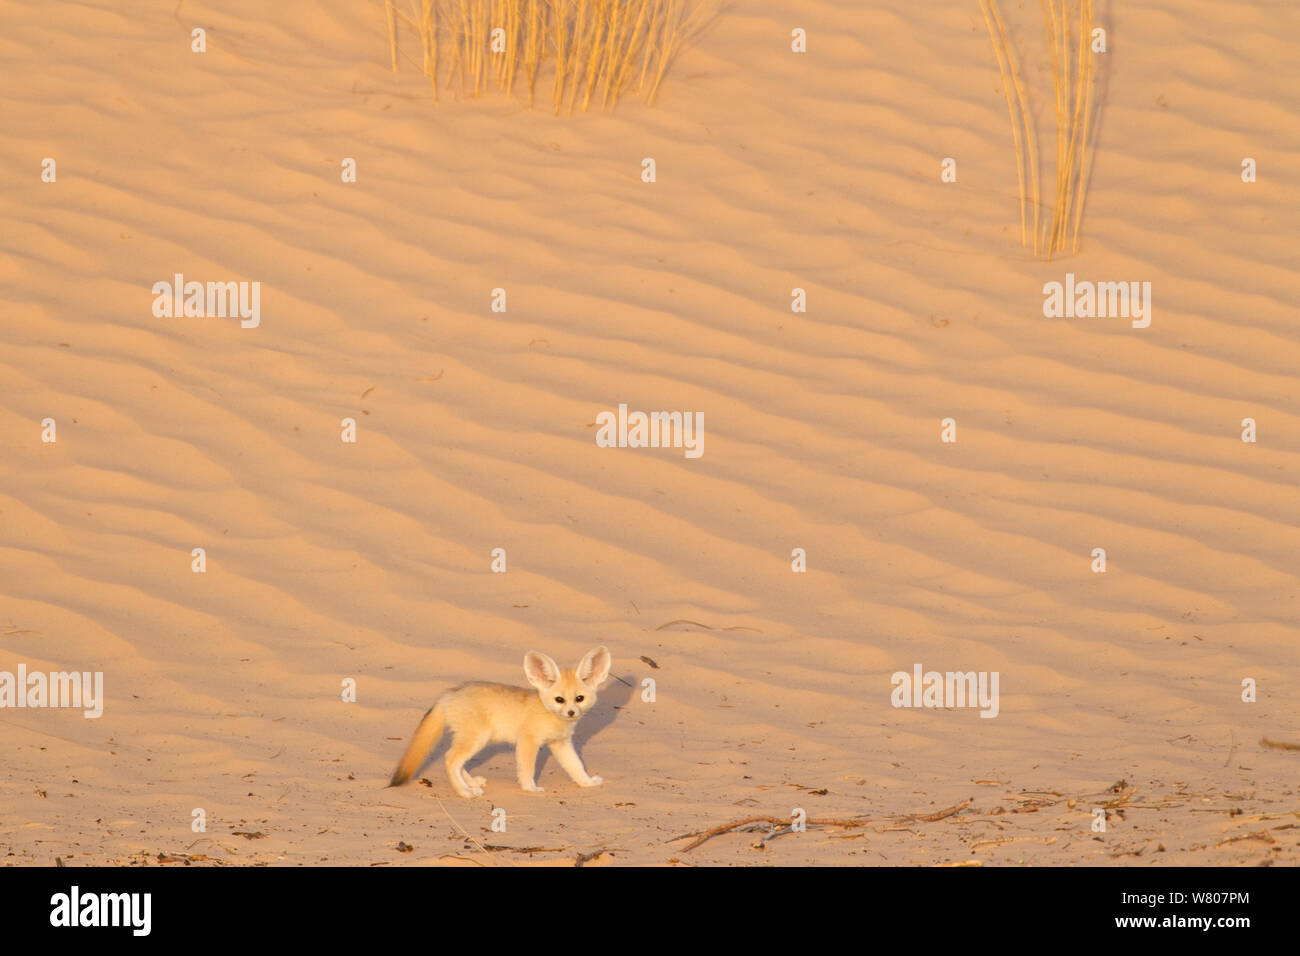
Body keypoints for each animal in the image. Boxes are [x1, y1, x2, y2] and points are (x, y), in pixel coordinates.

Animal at [388, 646, 612, 797]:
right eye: (559, 700)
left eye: (579, 698)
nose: (571, 712)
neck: (546, 711)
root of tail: (449, 693)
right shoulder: (528, 741)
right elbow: (527, 769)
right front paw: (530, 788)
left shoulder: (560, 743)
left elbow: (576, 766)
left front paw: (587, 783)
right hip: (477, 739)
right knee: (450, 759)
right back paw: (465, 792)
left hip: (475, 740)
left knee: (454, 759)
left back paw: (471, 783)